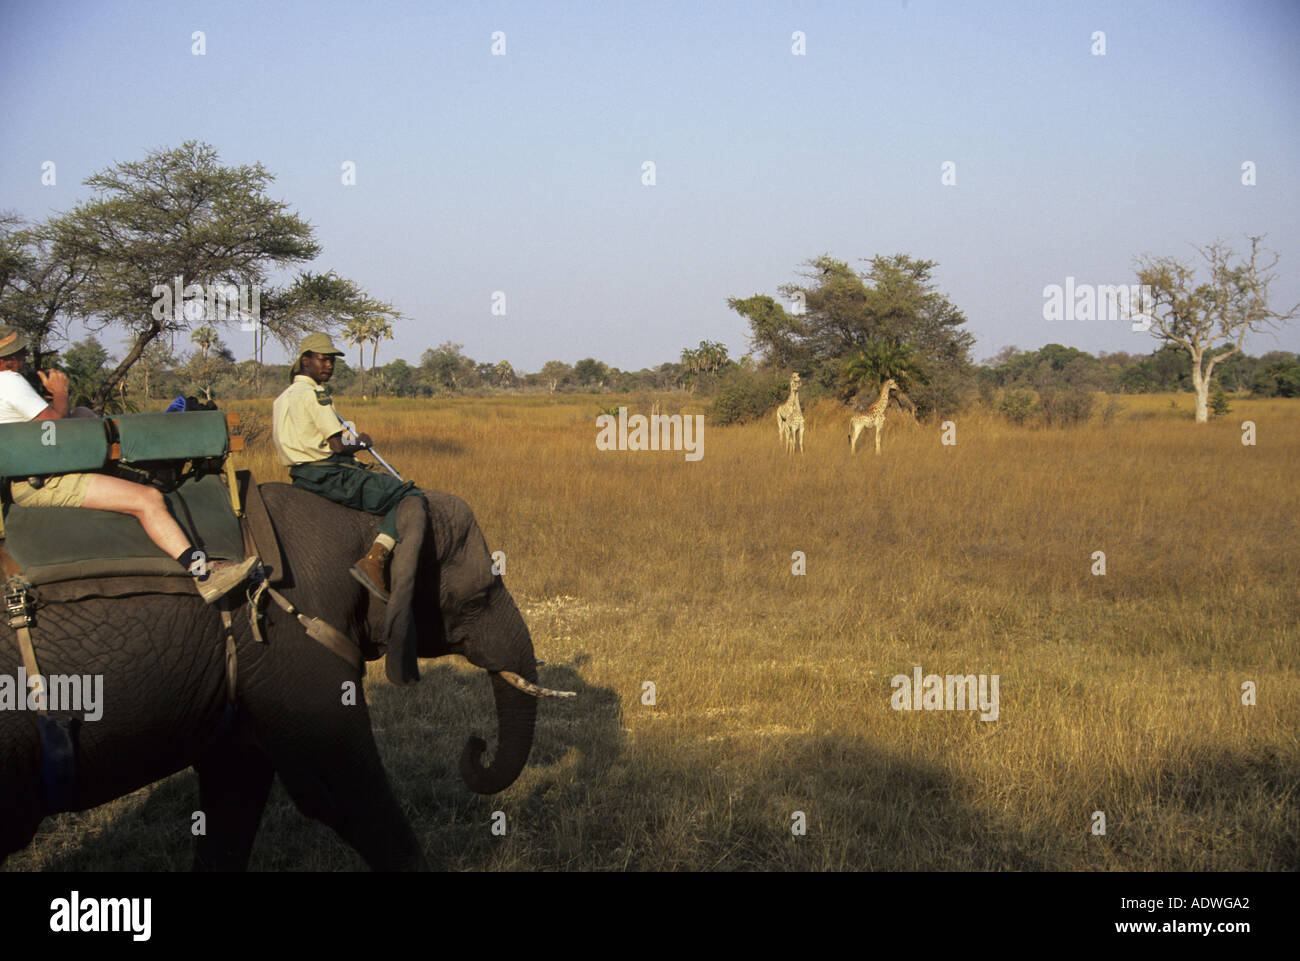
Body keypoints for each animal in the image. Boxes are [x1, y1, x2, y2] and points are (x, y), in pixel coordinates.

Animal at [0, 482, 569, 870]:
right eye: (476, 601)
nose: (476, 746)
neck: (362, 520)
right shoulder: (287, 633)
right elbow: (338, 786)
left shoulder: (253, 664)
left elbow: (237, 787)